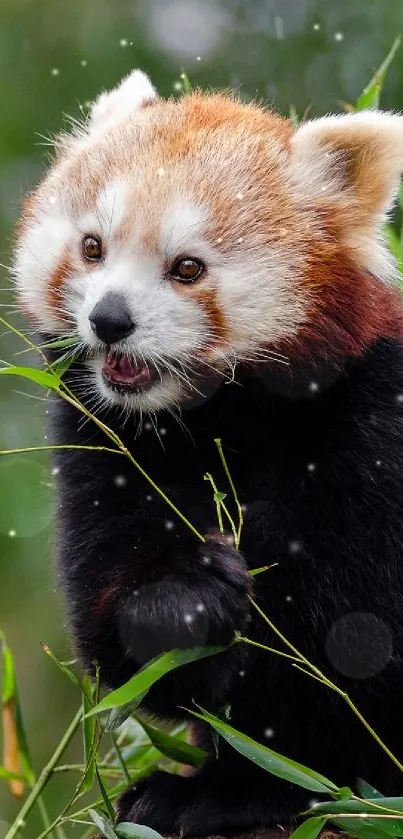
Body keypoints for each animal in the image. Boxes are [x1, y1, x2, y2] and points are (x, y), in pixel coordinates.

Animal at [13, 69, 403, 834]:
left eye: (187, 267)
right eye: (93, 247)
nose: (109, 319)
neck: (217, 423)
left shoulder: (371, 436)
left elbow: (344, 645)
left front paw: (257, 787)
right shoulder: (103, 446)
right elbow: (120, 627)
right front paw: (188, 597)